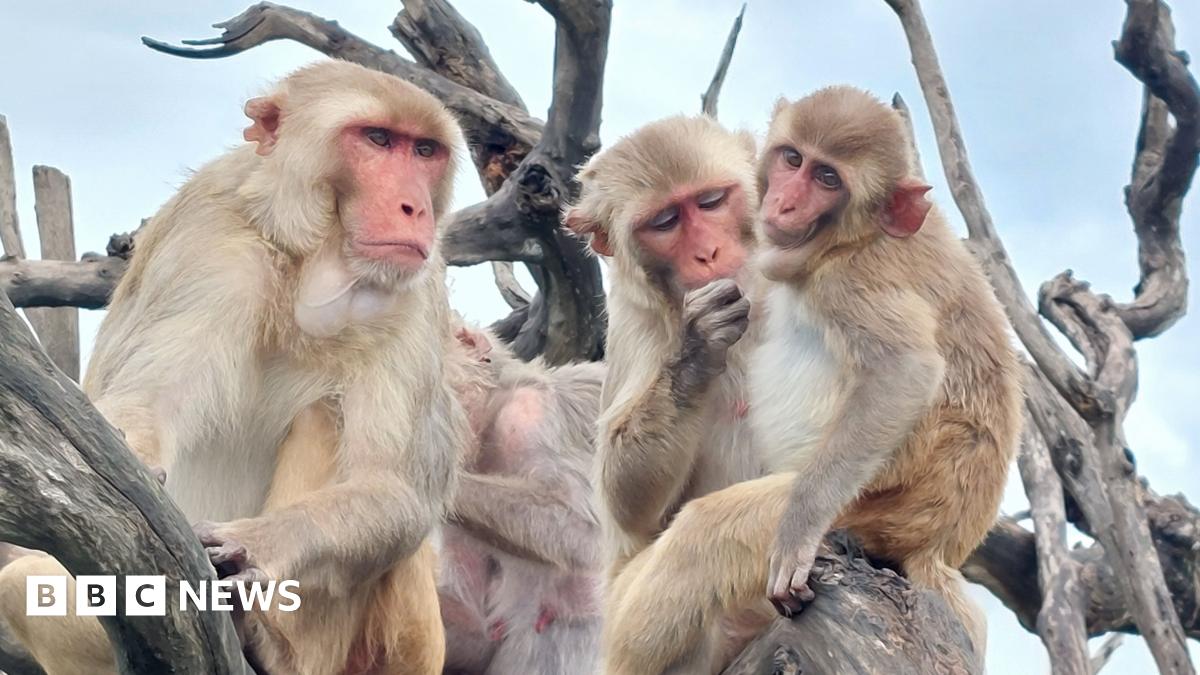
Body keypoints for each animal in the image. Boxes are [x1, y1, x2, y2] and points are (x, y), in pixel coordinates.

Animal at [0, 60, 470, 675]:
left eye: (424, 150)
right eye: (377, 140)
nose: (414, 208)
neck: (302, 250)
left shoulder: (417, 293)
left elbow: (392, 488)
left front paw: (258, 547)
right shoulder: (211, 250)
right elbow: (144, 406)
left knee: (328, 416)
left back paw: (277, 648)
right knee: (22, 586)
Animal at [563, 115, 763, 583]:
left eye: (710, 201)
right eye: (665, 222)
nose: (708, 253)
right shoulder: (633, 327)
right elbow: (628, 505)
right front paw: (697, 350)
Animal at [598, 87, 1022, 675]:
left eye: (827, 178)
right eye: (792, 159)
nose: (783, 205)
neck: (849, 241)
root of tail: (937, 547)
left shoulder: (850, 283)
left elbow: (905, 370)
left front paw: (799, 530)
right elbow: (629, 510)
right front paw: (699, 345)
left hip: (870, 507)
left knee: (704, 536)